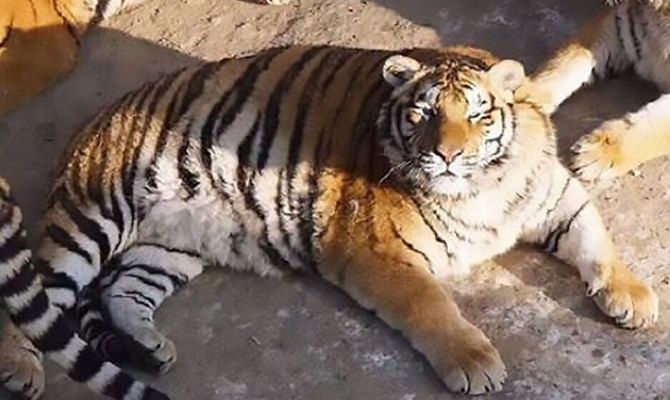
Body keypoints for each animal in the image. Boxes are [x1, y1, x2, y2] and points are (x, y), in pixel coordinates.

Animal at [35, 44, 658, 396]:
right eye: (423, 113)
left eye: (479, 115)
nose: (448, 155)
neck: (481, 189)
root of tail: (87, 126)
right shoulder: (372, 251)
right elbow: (429, 306)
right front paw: (474, 361)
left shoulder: (555, 196)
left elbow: (595, 236)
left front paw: (633, 297)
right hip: (93, 217)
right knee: (39, 301)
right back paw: (28, 371)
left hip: (171, 247)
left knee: (122, 290)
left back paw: (149, 347)